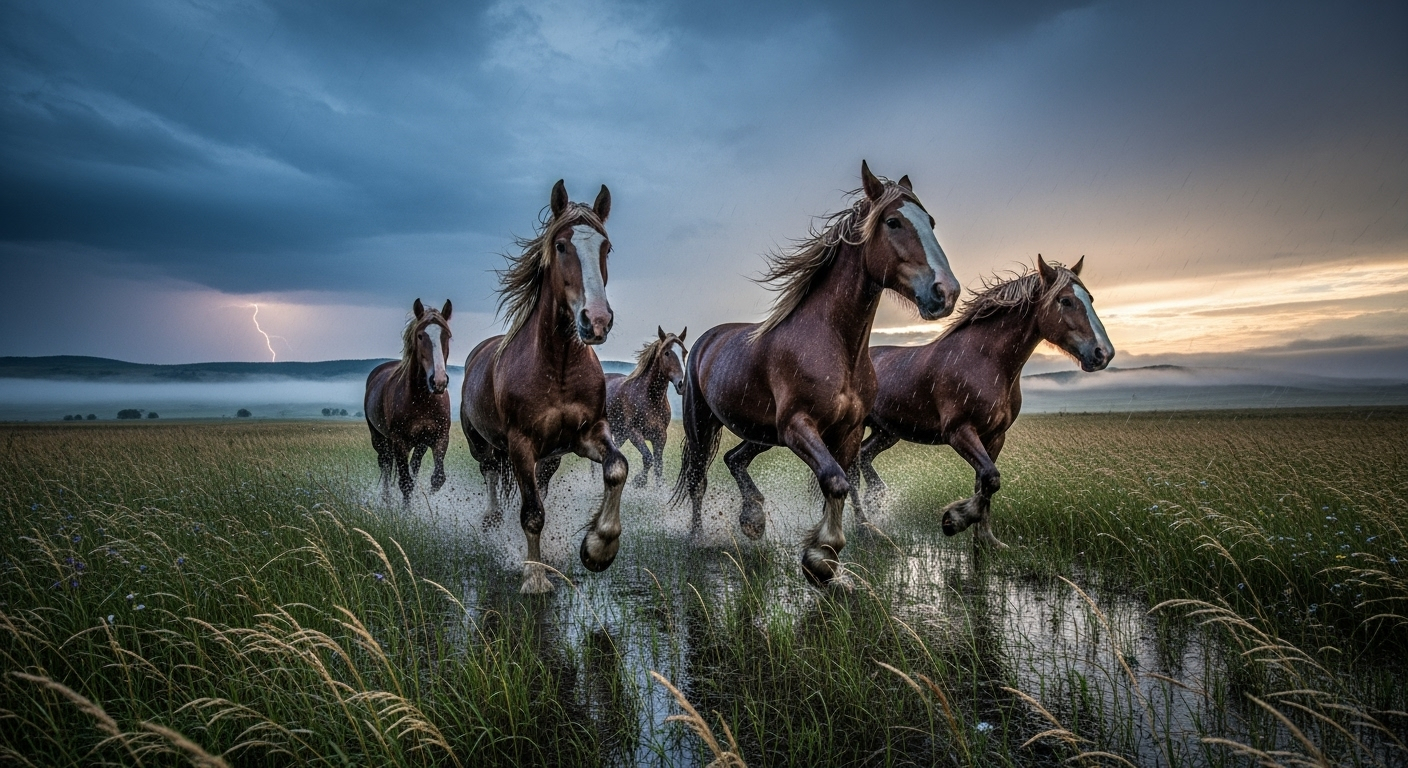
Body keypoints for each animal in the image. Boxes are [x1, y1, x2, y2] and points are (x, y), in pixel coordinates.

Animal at [364, 298, 453, 505]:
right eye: (420, 336)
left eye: (447, 335)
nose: (438, 381)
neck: (422, 400)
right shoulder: (400, 441)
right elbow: (405, 482)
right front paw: (407, 511)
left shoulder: (439, 437)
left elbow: (437, 478)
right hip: (379, 438)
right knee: (386, 464)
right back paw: (387, 500)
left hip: (419, 444)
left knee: (412, 465)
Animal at [461, 179, 627, 594]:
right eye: (562, 245)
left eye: (606, 247)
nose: (596, 320)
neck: (560, 367)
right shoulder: (521, 444)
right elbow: (532, 514)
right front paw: (534, 578)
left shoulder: (587, 434)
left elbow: (617, 468)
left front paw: (599, 547)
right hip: (483, 446)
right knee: (492, 477)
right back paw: (493, 524)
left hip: (550, 458)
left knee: (541, 486)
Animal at [605, 327, 687, 488]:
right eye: (666, 352)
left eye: (685, 352)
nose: (682, 384)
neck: (651, 399)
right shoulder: (634, 433)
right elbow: (648, 459)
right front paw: (639, 481)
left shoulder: (660, 436)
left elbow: (658, 465)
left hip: (620, 435)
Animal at [672, 161, 961, 588]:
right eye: (892, 221)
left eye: (931, 222)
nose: (946, 292)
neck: (836, 346)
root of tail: (705, 340)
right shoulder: (798, 426)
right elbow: (836, 481)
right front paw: (820, 558)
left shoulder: (848, 431)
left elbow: (843, 480)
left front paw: (837, 551)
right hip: (703, 423)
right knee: (698, 479)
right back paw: (698, 538)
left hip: (761, 433)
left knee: (735, 458)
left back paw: (753, 519)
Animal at [848, 256, 1114, 548]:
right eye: (1065, 300)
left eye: (1090, 298)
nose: (1103, 353)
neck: (984, 360)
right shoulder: (960, 432)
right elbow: (991, 478)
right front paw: (954, 520)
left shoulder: (994, 436)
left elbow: (984, 483)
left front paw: (986, 539)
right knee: (850, 473)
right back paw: (865, 528)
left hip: (887, 432)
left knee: (863, 457)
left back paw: (877, 500)